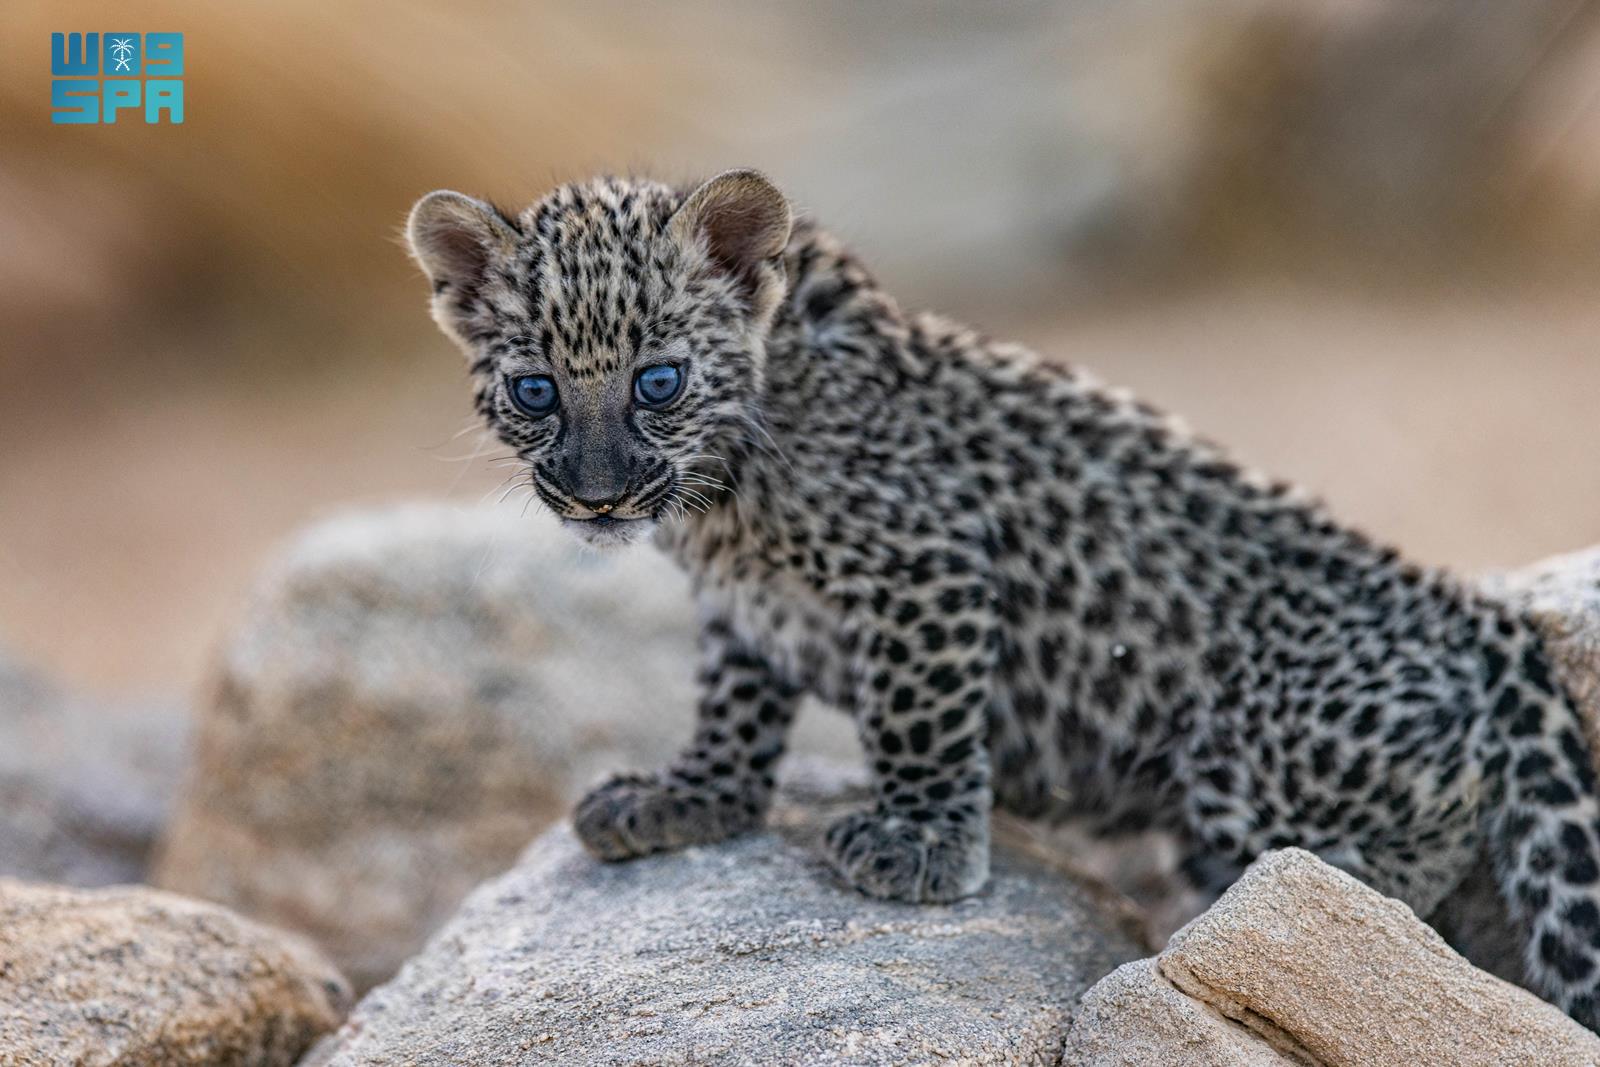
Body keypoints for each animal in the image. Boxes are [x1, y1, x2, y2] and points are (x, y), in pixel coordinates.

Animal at [405, 168, 1600, 1031]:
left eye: (657, 381)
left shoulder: (924, 566)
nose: (597, 494)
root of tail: (1478, 619)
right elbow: (732, 709)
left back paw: (1282, 885)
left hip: (1256, 755)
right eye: (534, 391)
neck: (727, 489)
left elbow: (917, 717)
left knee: (1409, 858)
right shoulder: (740, 608)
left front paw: (919, 843)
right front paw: (689, 797)